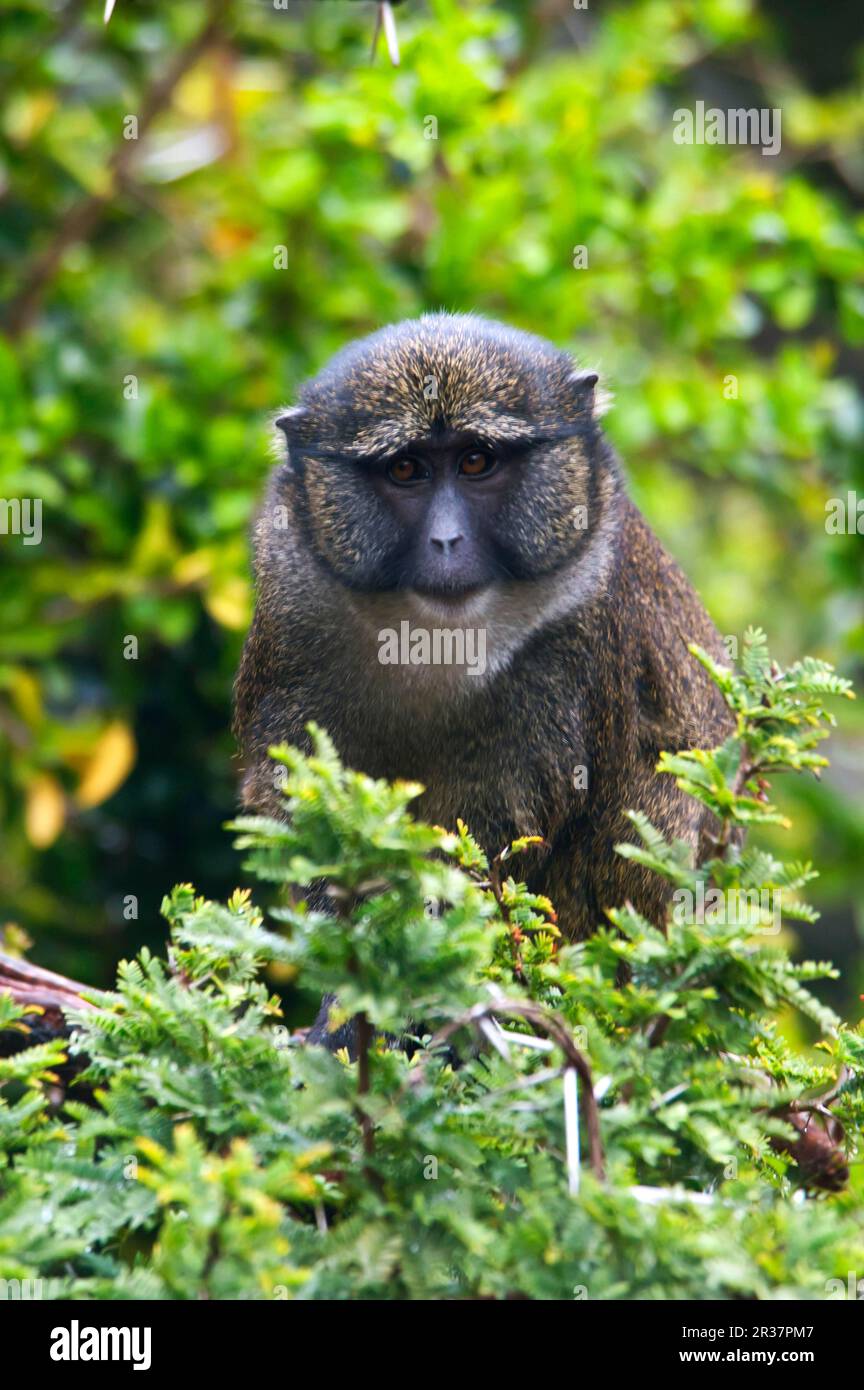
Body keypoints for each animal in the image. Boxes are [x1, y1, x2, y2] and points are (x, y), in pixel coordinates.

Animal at [234, 313, 733, 1049]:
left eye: (477, 461)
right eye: (406, 469)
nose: (446, 542)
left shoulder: (574, 635)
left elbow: (498, 830)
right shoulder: (293, 599)